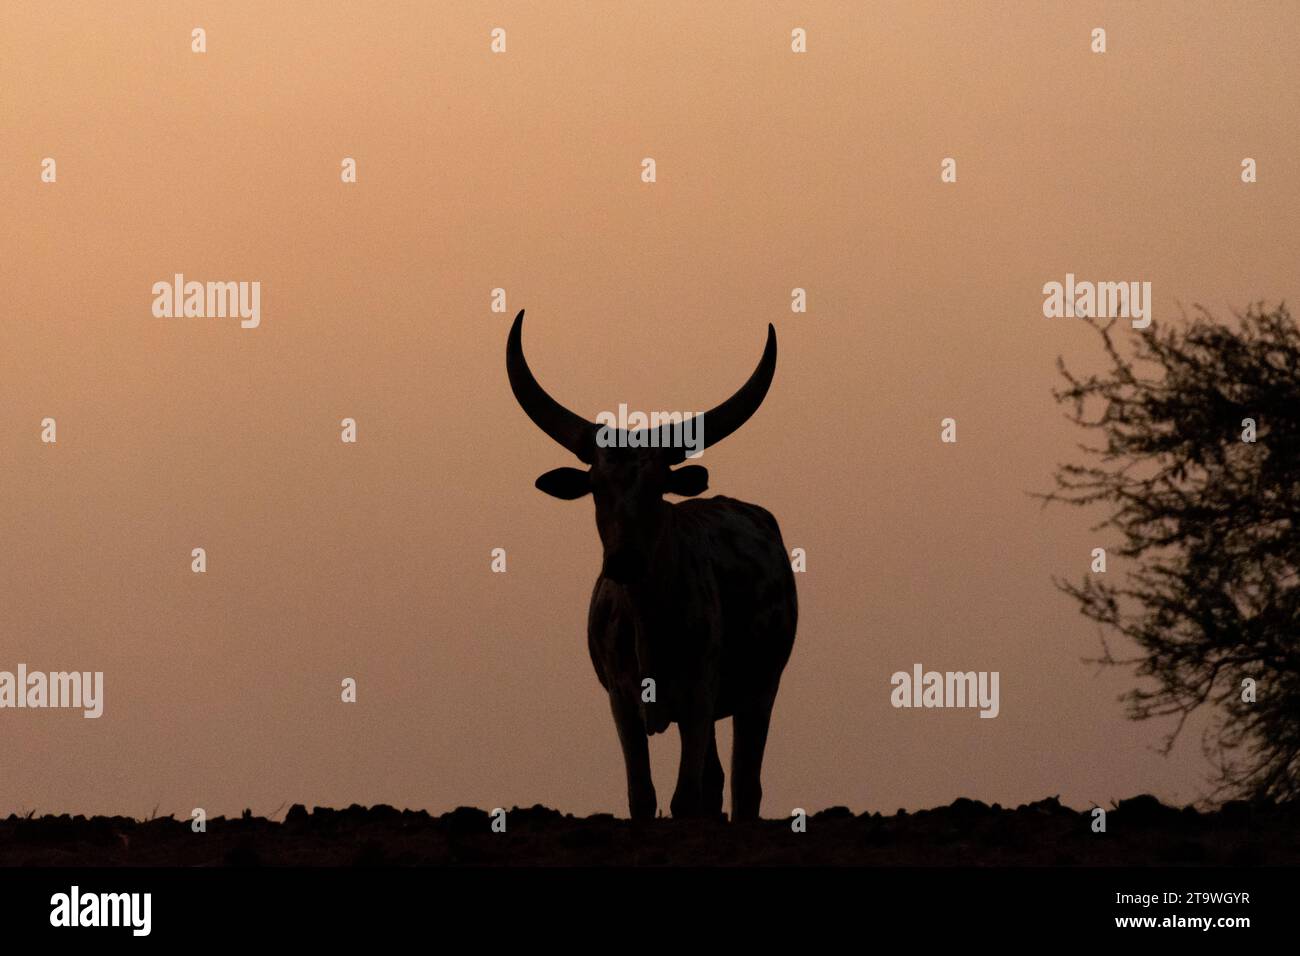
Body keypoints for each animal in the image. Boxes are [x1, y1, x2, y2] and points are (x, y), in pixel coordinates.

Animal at [506, 310, 798, 821]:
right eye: (597, 486)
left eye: (659, 485)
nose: (624, 560)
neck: (648, 619)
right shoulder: (621, 700)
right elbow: (642, 796)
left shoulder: (701, 694)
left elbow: (685, 799)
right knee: (717, 781)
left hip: (759, 691)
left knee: (745, 785)